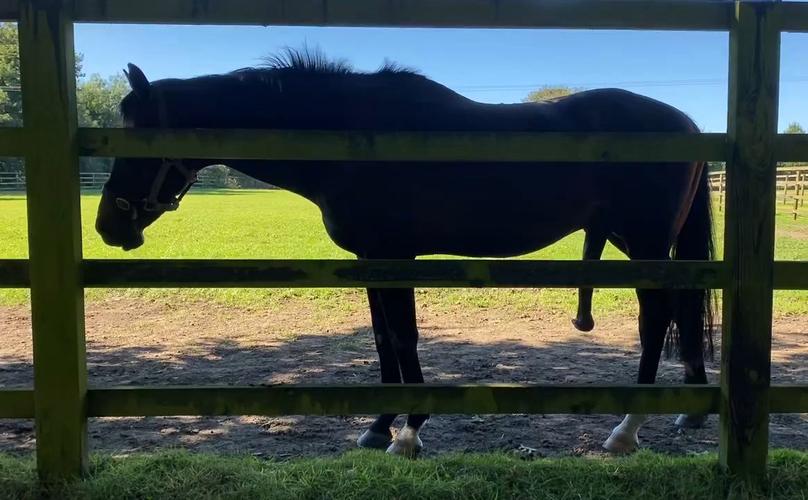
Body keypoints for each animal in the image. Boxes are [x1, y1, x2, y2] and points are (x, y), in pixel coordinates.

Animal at [95, 49, 714, 457]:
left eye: (136, 136)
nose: (107, 225)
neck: (353, 140)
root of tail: (687, 123)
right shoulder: (372, 258)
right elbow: (382, 339)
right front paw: (379, 425)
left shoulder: (396, 256)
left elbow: (403, 336)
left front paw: (411, 431)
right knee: (679, 313)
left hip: (646, 244)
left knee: (656, 319)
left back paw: (626, 430)